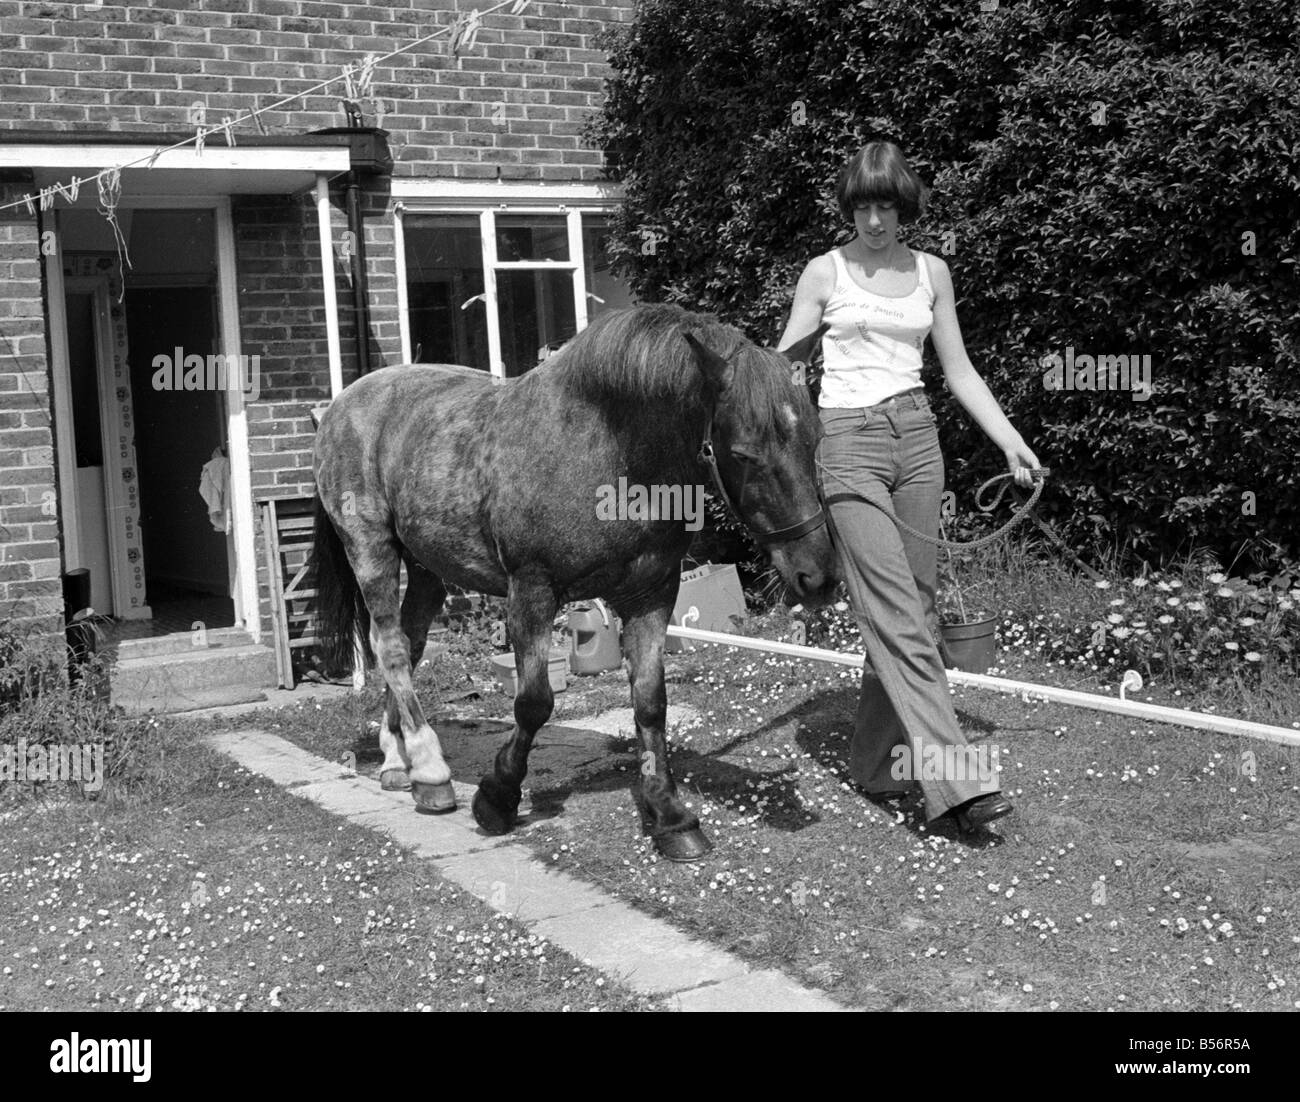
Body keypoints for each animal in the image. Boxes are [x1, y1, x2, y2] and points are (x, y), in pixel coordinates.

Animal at [309, 302, 836, 861]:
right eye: (743, 452)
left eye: (814, 439)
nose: (818, 576)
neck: (607, 449)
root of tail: (339, 405)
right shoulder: (532, 591)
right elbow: (534, 702)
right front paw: (498, 797)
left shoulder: (652, 595)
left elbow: (651, 703)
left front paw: (670, 816)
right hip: (371, 549)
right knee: (389, 647)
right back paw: (431, 772)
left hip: (430, 567)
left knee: (407, 644)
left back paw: (397, 762)